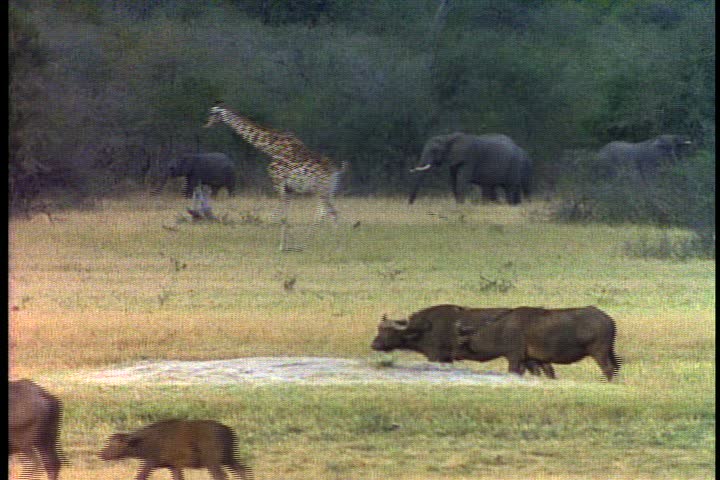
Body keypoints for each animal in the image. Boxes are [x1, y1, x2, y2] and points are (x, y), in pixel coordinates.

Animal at [99, 419, 253, 480]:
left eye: (115, 444)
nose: (102, 454)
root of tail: (230, 432)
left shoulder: (151, 462)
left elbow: (140, 476)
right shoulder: (173, 465)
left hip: (213, 460)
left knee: (221, 475)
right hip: (228, 457)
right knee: (243, 469)